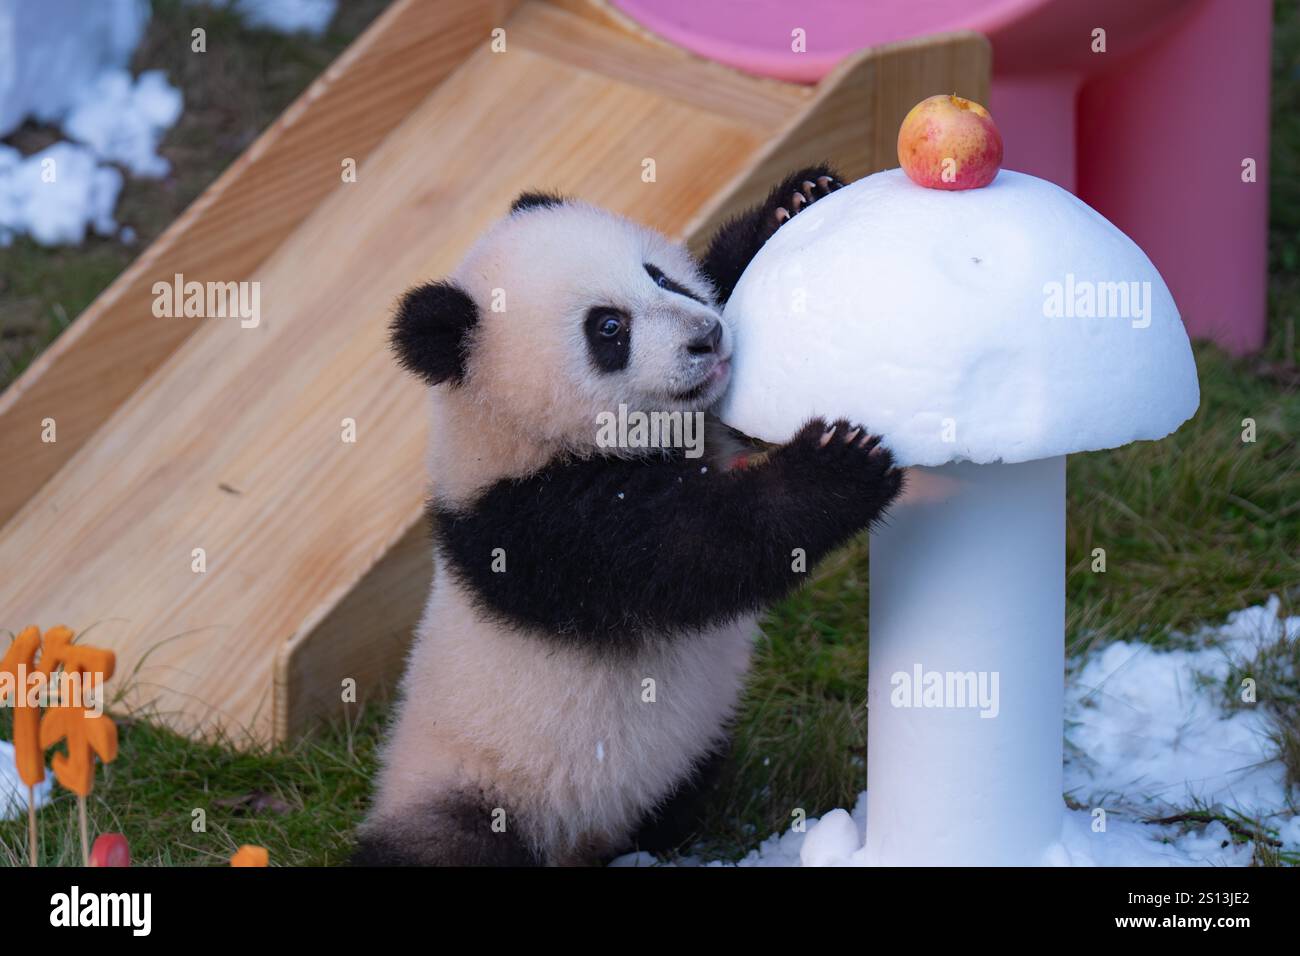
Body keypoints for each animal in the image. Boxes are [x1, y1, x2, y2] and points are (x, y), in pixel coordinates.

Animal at [353, 165, 904, 866]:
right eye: (609, 329)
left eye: (659, 275)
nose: (707, 337)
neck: (513, 432)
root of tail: (586, 846)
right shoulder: (541, 525)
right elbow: (699, 550)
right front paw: (841, 463)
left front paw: (798, 199)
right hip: (473, 789)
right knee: (455, 843)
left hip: (682, 759)